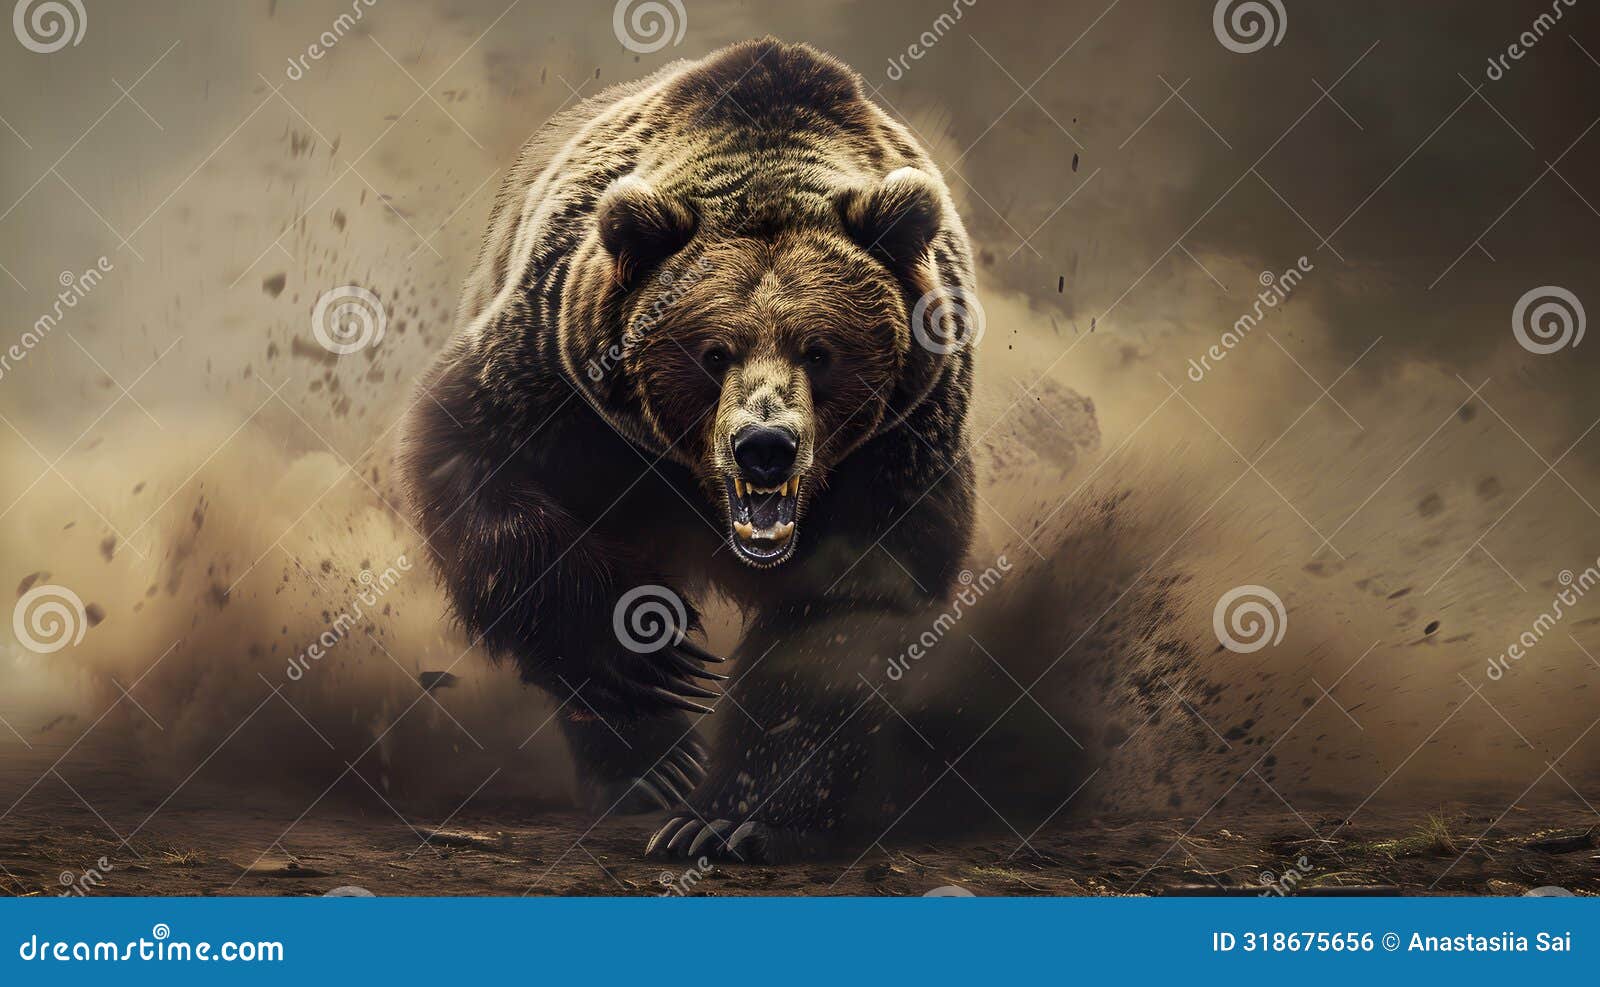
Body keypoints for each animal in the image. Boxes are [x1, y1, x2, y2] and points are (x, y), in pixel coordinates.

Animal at [399, 38, 978, 862]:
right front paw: (656, 666)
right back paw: (647, 770)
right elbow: (475, 465)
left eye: (820, 351)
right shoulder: (561, 380)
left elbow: (850, 606)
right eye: (713, 352)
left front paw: (732, 819)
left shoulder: (901, 441)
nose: (764, 447)